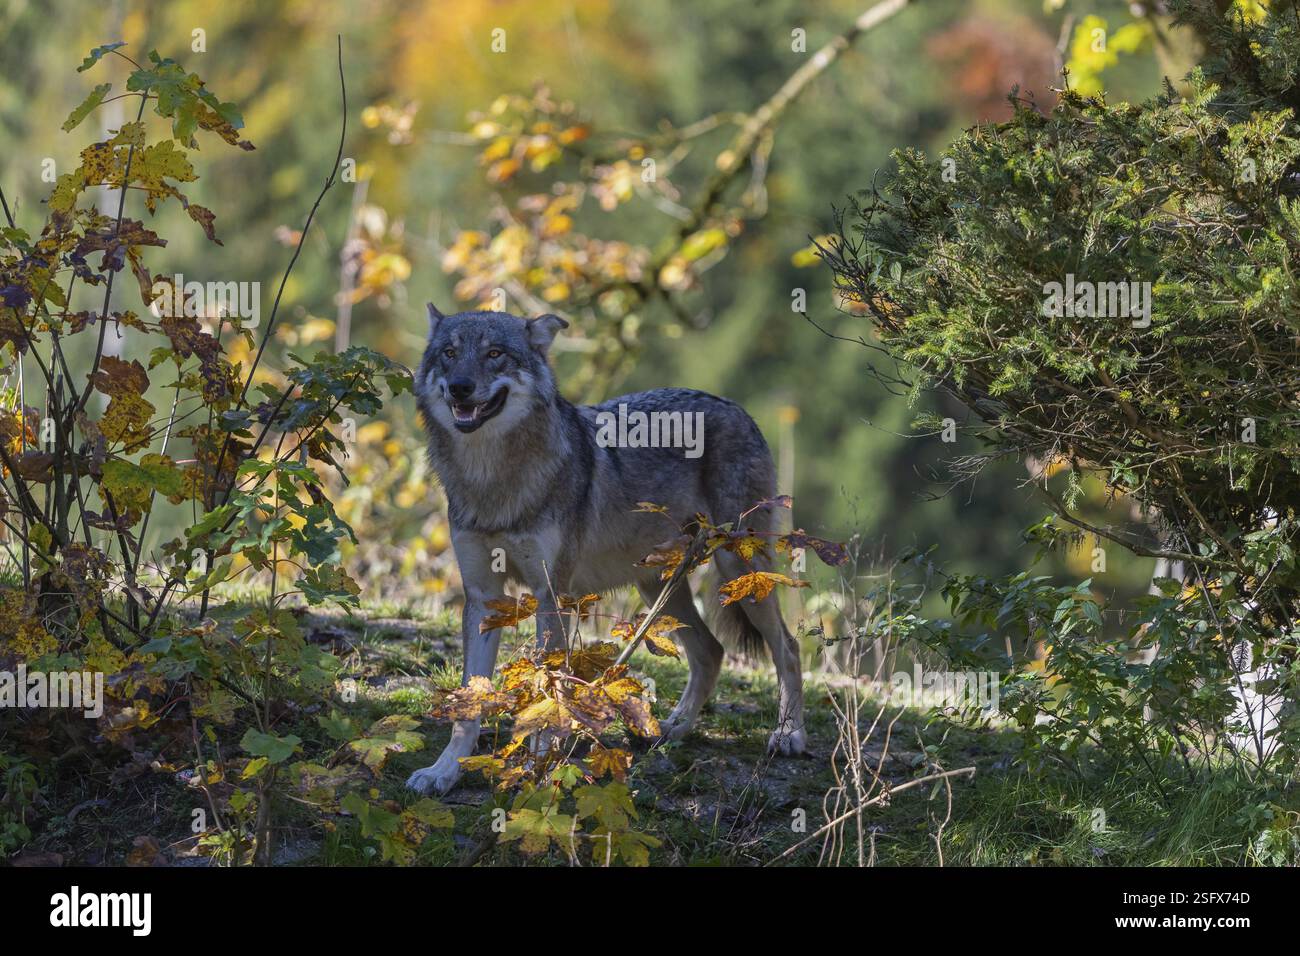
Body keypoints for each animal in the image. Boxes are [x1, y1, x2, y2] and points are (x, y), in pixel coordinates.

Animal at [405, 305, 805, 795]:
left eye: (495, 353)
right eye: (449, 353)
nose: (460, 386)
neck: (492, 479)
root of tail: (735, 406)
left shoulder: (551, 596)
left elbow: (549, 689)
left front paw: (539, 768)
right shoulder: (483, 599)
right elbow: (470, 705)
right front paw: (444, 771)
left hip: (740, 572)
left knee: (787, 646)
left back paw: (788, 735)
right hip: (658, 587)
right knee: (711, 651)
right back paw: (671, 729)